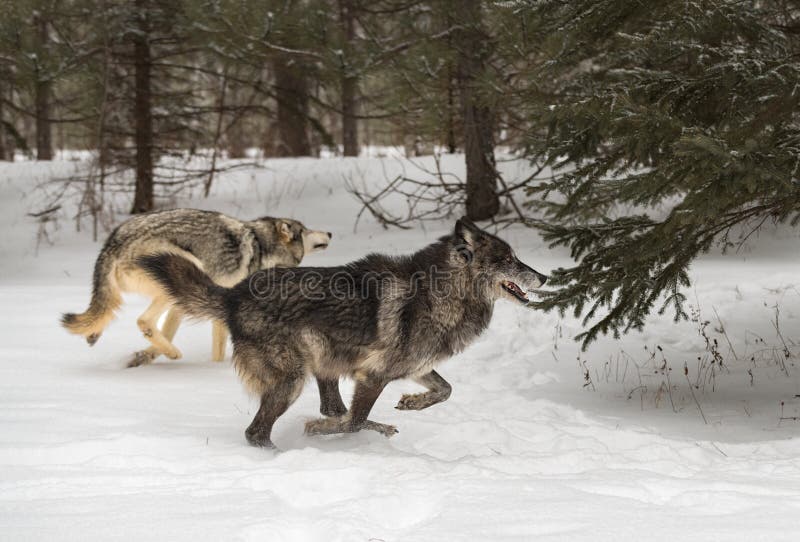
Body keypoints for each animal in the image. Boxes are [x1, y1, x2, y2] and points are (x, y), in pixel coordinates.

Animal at [61, 208, 332, 367]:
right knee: (143, 321)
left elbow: (171, 332)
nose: (329, 232)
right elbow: (219, 349)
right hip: (180, 269)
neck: (263, 247)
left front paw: (146, 356)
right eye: (306, 230)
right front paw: (217, 368)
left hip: (172, 291)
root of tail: (114, 242)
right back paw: (172, 354)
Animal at [136, 218, 547, 448]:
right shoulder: (373, 375)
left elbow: (445, 390)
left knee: (330, 408)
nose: (544, 277)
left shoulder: (411, 369)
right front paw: (315, 431)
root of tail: (234, 295)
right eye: (509, 259)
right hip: (292, 380)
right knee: (259, 432)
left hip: (322, 364)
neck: (439, 291)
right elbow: (352, 423)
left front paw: (411, 403)